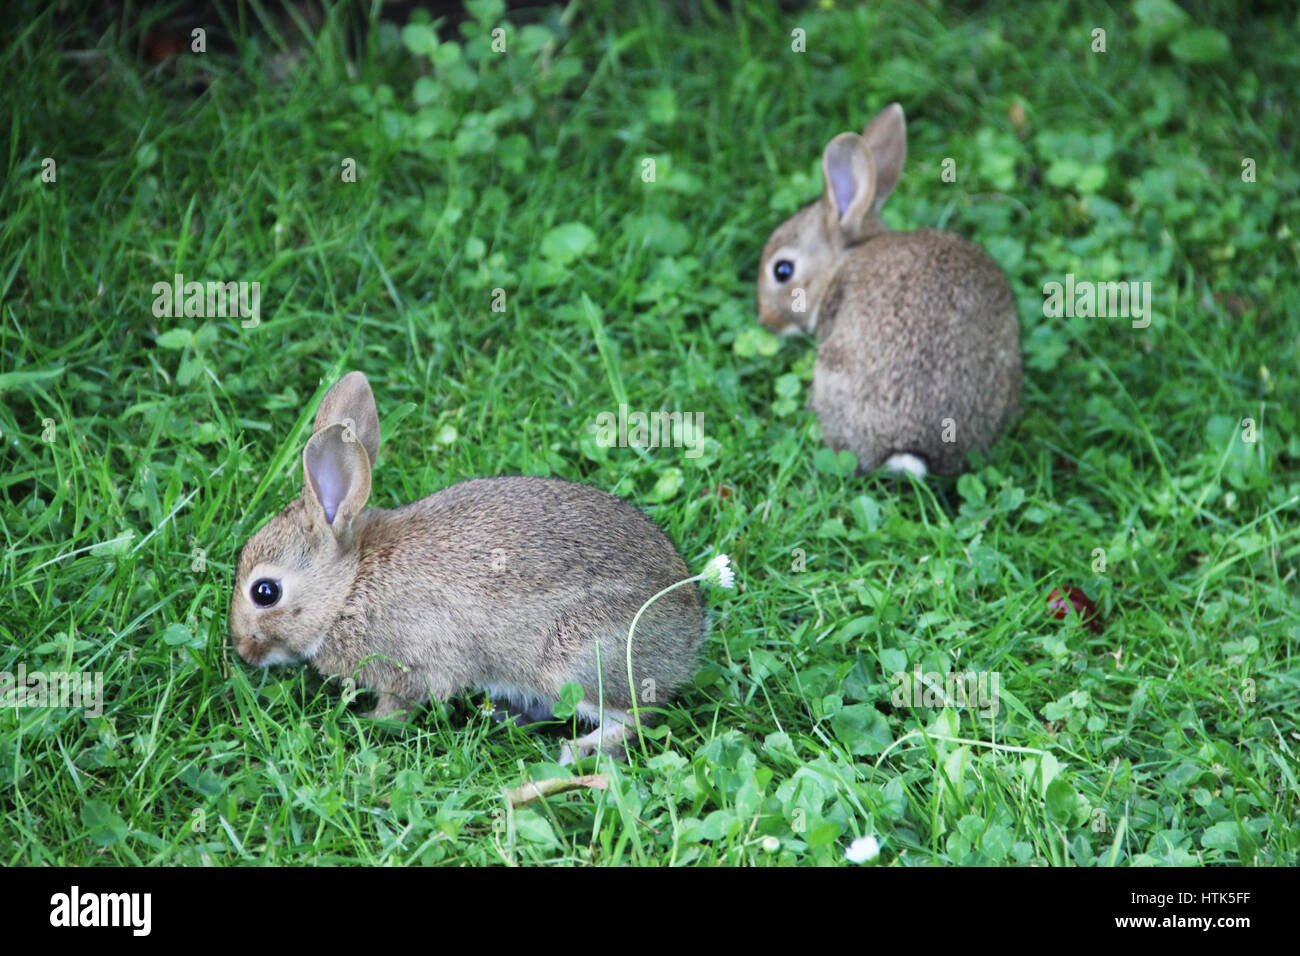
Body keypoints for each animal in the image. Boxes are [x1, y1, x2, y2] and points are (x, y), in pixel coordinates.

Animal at [229, 371, 705, 763]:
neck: (349, 586)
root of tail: (692, 632)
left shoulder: (410, 668)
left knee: (636, 715)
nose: (243, 651)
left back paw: (579, 750)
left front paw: (363, 724)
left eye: (265, 592)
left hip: (579, 660)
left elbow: (399, 708)